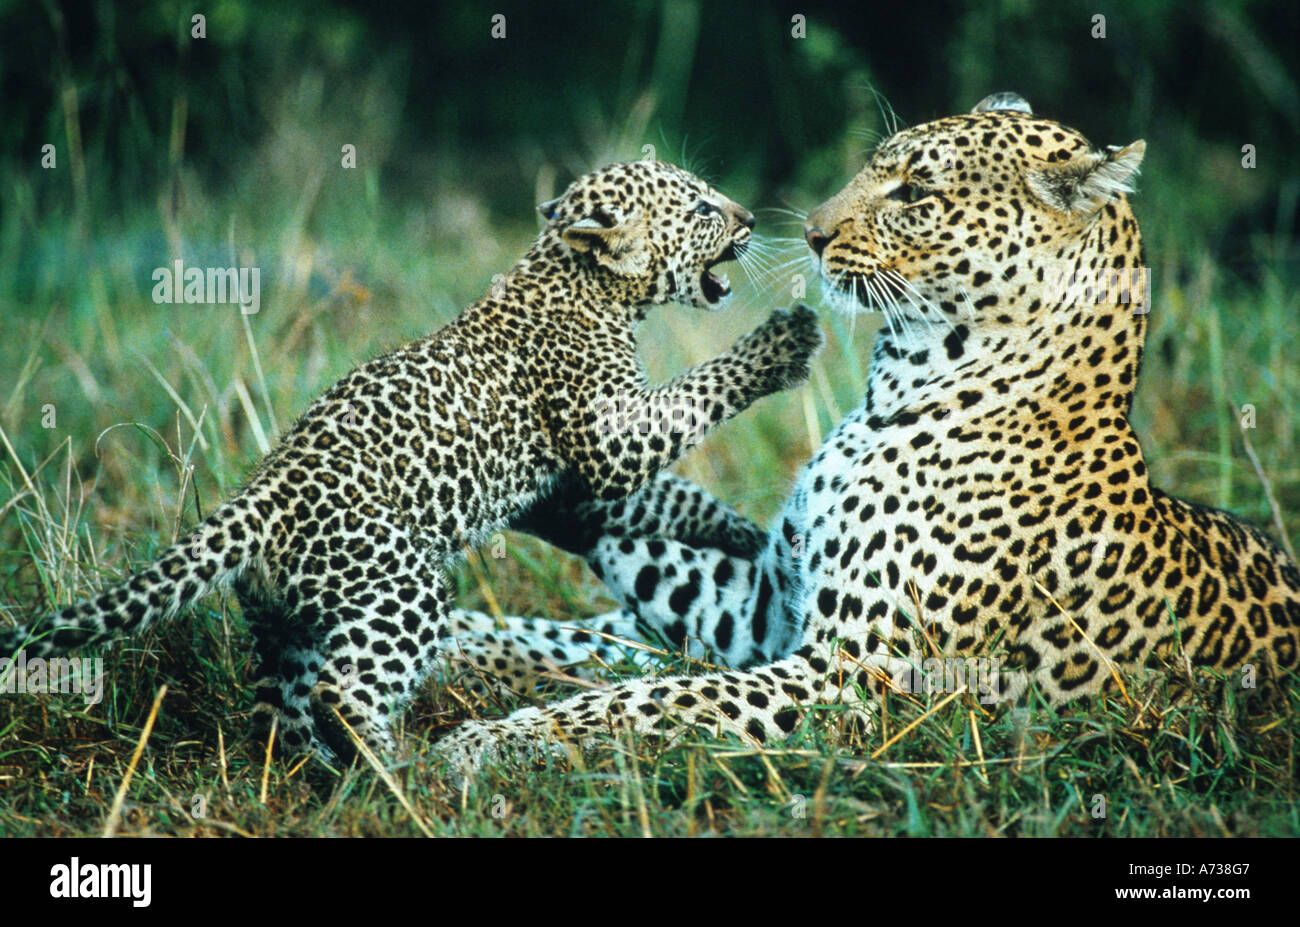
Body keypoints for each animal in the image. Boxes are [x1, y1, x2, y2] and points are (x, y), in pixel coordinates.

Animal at [0, 158, 824, 764]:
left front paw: (744, 534)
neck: (574, 280)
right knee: (345, 692)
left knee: (279, 710)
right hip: (399, 586)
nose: (750, 218)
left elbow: (672, 499)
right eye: (702, 209)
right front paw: (781, 345)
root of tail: (256, 501)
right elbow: (699, 391)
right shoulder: (608, 434)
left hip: (291, 624)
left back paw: (324, 776)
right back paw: (402, 773)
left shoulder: (578, 487)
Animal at [430, 93, 1300, 782]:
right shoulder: (758, 610)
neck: (898, 387)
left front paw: (487, 743)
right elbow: (573, 633)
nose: (809, 232)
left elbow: (644, 696)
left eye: (915, 191)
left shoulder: (850, 674)